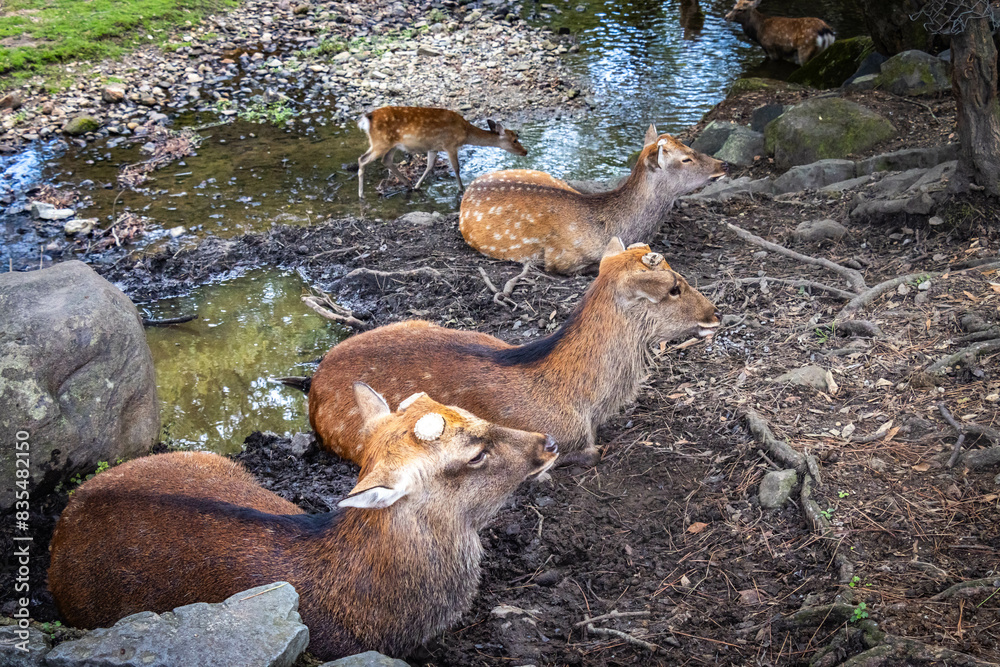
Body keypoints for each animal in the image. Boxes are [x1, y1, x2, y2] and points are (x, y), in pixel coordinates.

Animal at [357, 106, 528, 197]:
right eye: (514, 139)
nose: (525, 151)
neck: (466, 133)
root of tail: (367, 118)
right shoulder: (450, 145)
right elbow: (456, 168)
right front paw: (461, 189)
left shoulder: (434, 147)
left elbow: (429, 166)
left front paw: (418, 186)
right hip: (380, 142)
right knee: (362, 159)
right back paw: (361, 194)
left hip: (390, 144)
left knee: (386, 160)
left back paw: (408, 183)